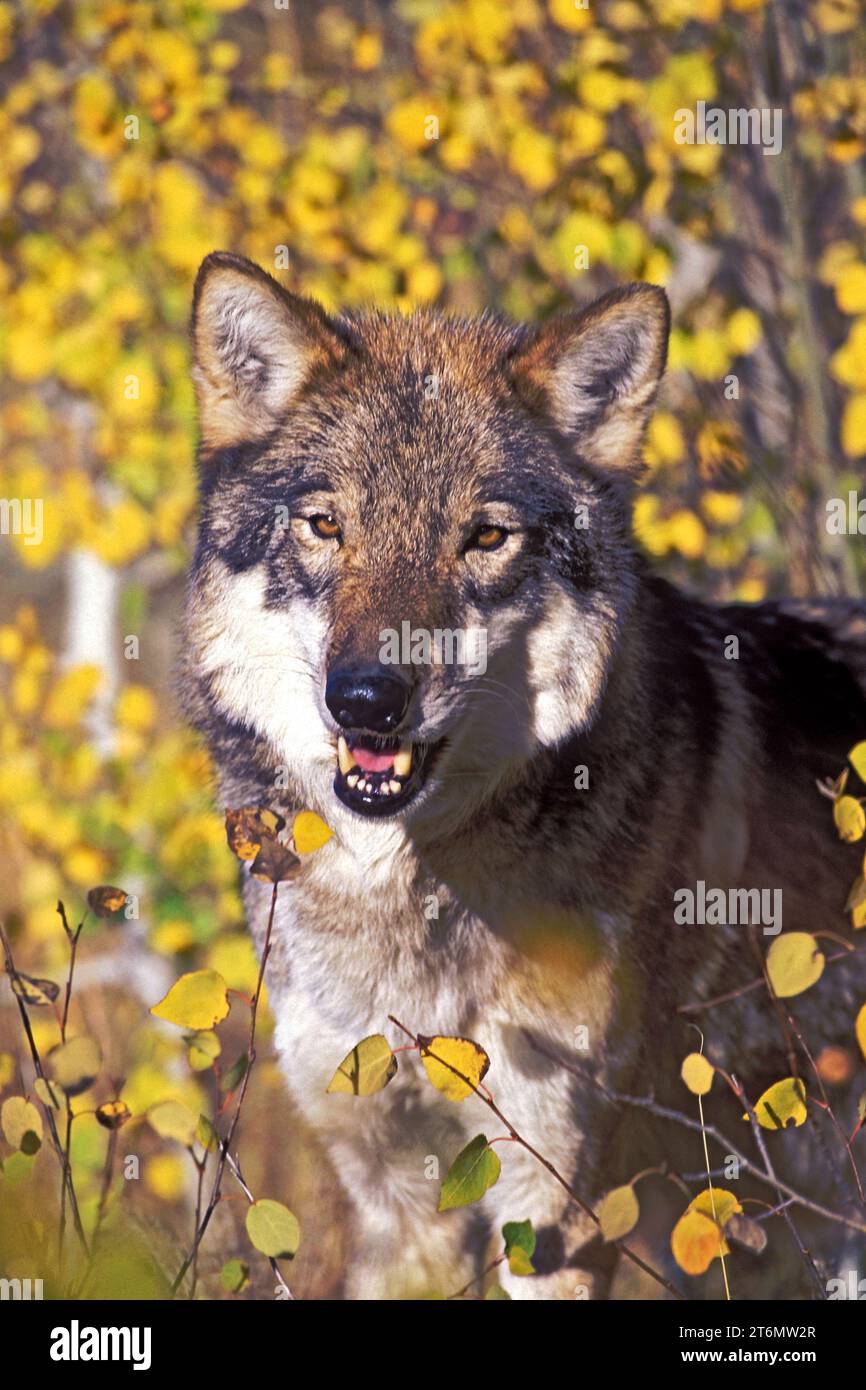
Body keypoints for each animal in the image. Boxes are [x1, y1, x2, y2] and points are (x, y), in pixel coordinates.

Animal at [183, 251, 866, 1300]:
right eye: (327, 525)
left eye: (485, 538)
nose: (368, 698)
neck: (405, 895)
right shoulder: (396, 1204)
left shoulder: (553, 1200)